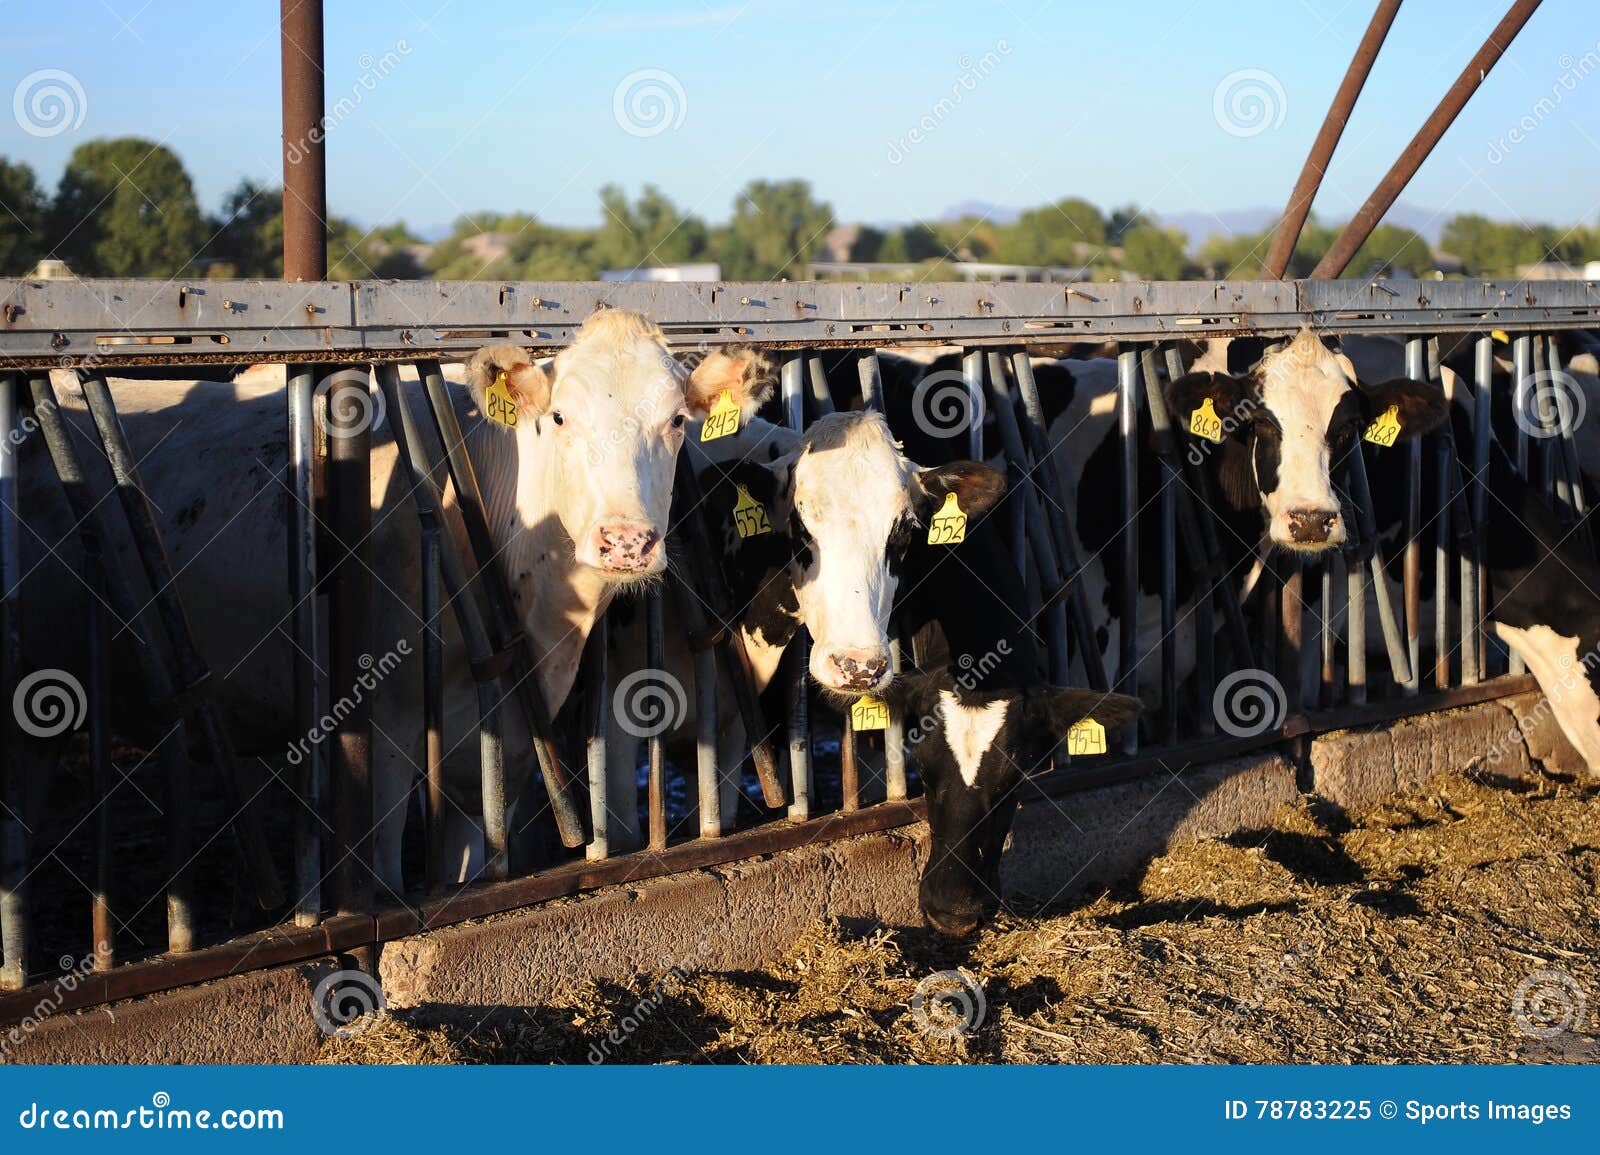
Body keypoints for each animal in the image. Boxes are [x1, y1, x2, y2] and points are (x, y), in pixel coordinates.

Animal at [13, 309, 772, 894]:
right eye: (560, 417)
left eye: (676, 422)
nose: (626, 541)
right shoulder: (380, 730)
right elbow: (383, 872)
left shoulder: (492, 747)